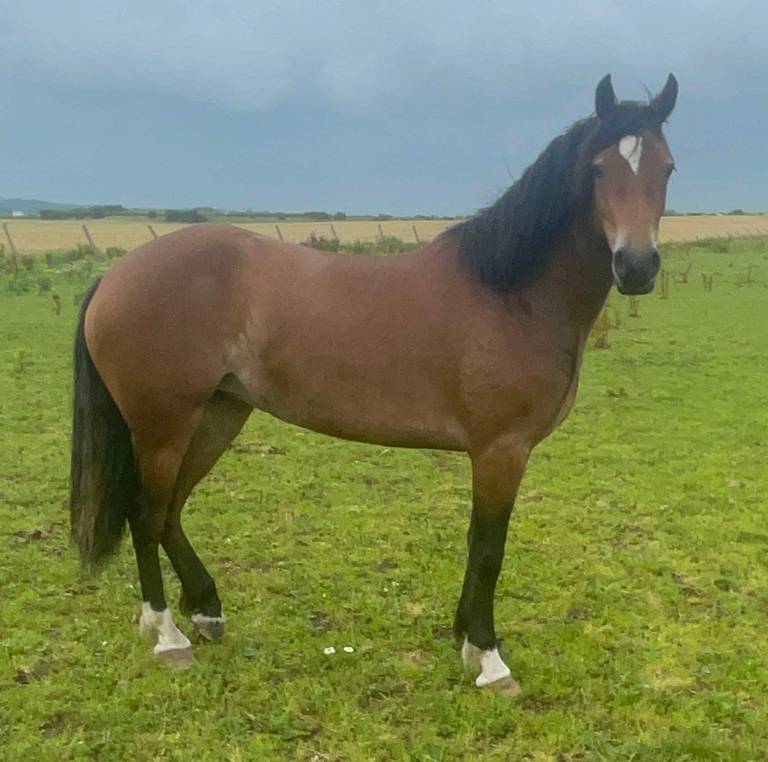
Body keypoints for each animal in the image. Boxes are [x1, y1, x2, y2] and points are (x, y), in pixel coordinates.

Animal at [70, 73, 678, 691]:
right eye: (599, 169)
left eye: (667, 169)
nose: (636, 266)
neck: (511, 296)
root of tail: (117, 275)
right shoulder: (501, 450)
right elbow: (489, 548)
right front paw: (487, 658)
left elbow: (476, 543)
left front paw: (464, 638)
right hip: (164, 425)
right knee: (146, 516)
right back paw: (167, 636)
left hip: (218, 414)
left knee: (170, 512)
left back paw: (206, 611)